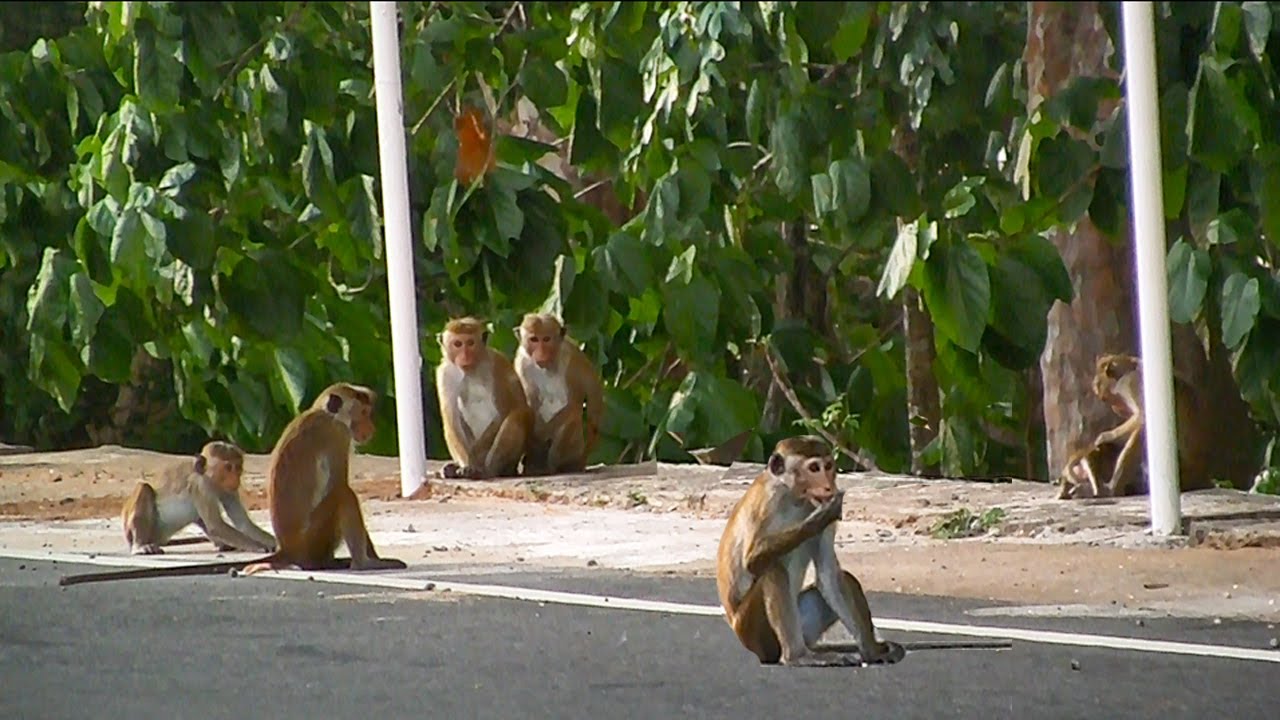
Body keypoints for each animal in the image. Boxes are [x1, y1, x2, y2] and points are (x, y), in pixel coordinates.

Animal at [120, 441, 276, 555]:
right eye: (228, 467)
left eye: (238, 467)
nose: (236, 478)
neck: (209, 478)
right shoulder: (200, 485)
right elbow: (216, 525)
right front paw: (259, 546)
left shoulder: (229, 490)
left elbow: (243, 523)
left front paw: (274, 542)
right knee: (145, 488)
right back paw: (140, 546)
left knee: (199, 517)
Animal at [435, 317, 534, 480]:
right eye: (458, 344)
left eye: (470, 343)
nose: (465, 355)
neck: (470, 369)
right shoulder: (445, 373)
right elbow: (452, 421)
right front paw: (466, 465)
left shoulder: (496, 365)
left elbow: (503, 413)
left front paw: (473, 460)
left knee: (518, 415)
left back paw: (488, 470)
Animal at [513, 313, 605, 476]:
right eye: (534, 339)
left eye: (546, 339)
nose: (541, 352)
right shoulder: (521, 363)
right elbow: (528, 403)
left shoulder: (572, 358)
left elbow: (583, 401)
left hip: (574, 447)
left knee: (573, 418)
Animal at [716, 435, 904, 667]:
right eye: (814, 468)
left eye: (828, 466)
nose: (828, 486)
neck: (794, 497)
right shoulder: (767, 501)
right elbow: (752, 560)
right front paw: (817, 519)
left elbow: (828, 576)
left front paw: (872, 651)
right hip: (752, 632)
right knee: (773, 570)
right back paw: (797, 656)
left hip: (803, 624)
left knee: (840, 578)